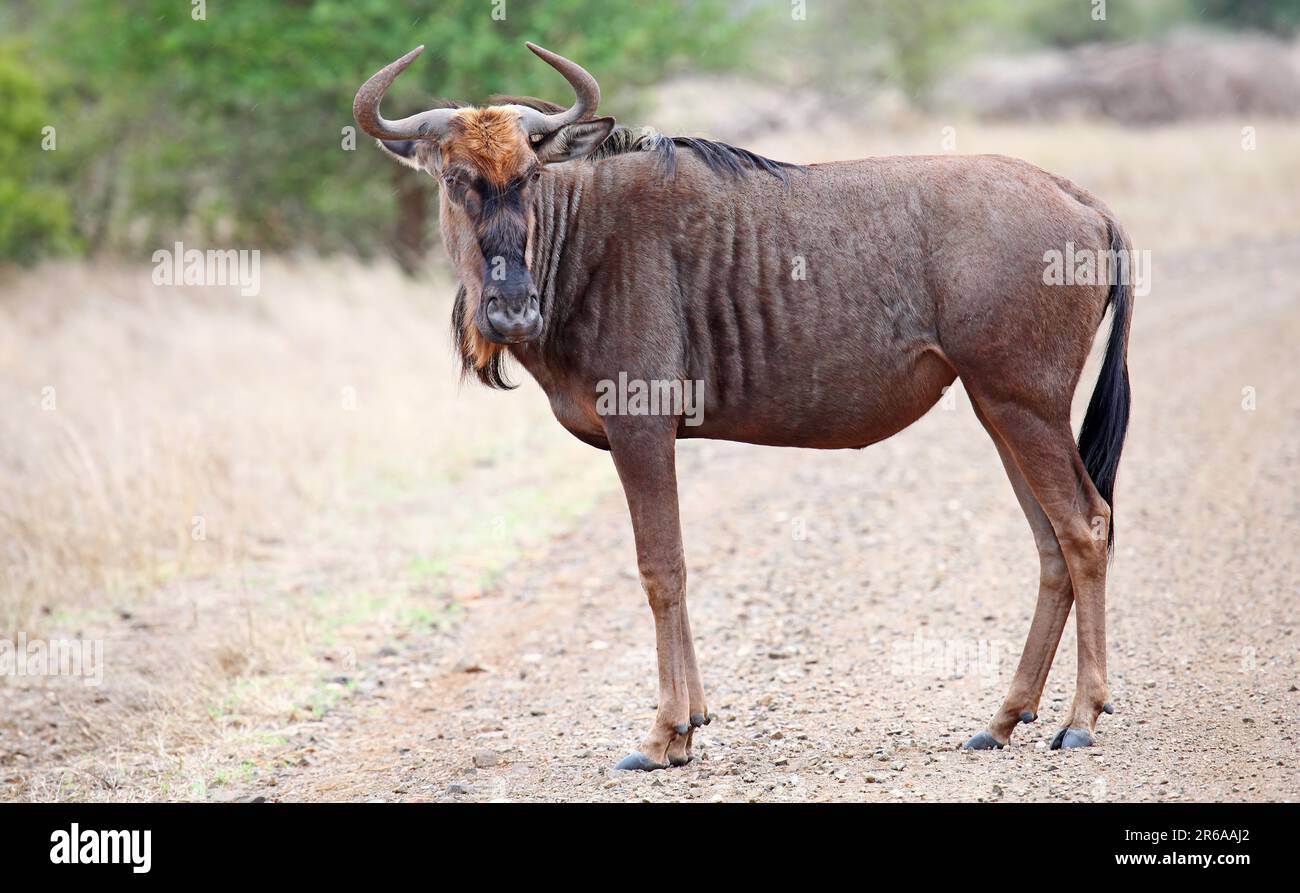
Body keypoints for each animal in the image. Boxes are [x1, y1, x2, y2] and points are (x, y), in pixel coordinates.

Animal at [354, 43, 1133, 770]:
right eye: (456, 180)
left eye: (529, 177)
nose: (512, 309)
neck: (582, 239)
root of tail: (1080, 201)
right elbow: (676, 567)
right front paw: (691, 724)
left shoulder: (640, 426)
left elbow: (660, 569)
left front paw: (663, 736)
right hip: (999, 408)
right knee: (1051, 543)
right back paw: (1003, 719)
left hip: (1025, 405)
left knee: (1085, 526)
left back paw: (1079, 720)